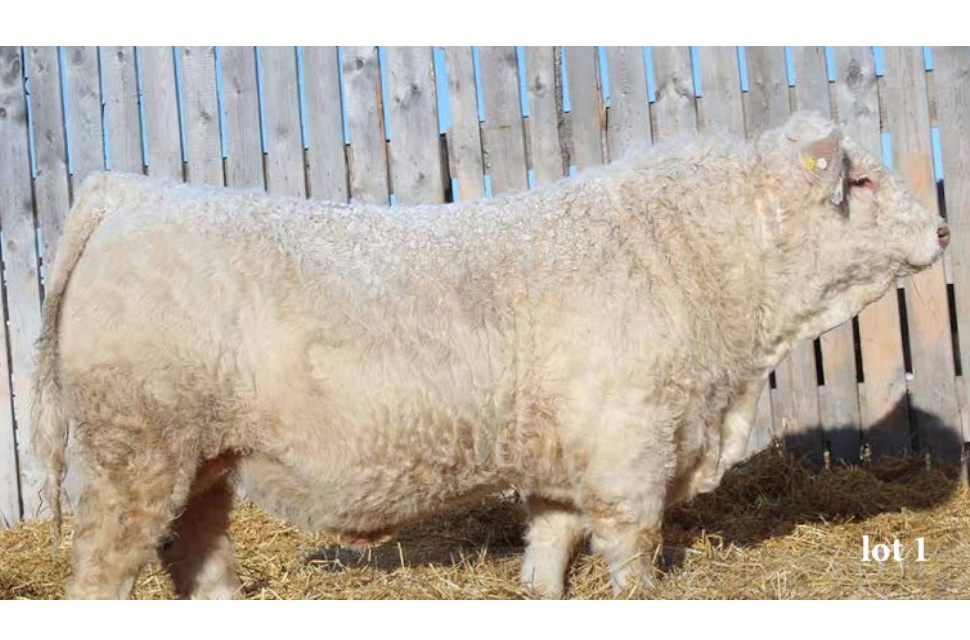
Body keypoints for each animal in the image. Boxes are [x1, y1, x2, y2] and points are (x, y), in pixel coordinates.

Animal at [31, 111, 949, 599]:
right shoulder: (630, 451)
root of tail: (132, 190)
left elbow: (548, 548)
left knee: (198, 553)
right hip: (134, 454)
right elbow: (634, 553)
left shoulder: (567, 463)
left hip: (204, 461)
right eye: (860, 181)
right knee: (104, 571)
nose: (943, 228)